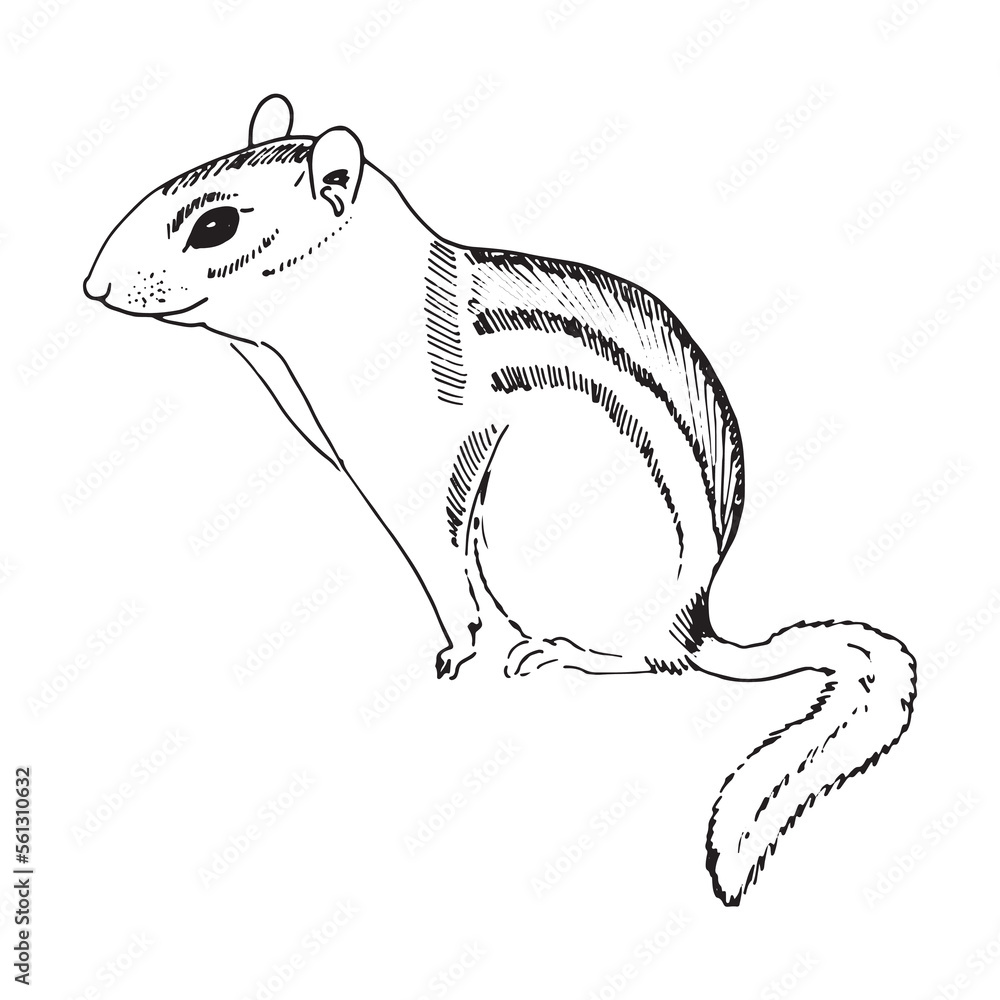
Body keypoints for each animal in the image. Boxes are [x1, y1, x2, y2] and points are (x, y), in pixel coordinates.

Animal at [84, 94, 917, 906]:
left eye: (214, 226)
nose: (93, 287)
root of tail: (695, 624)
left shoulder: (426, 464)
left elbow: (440, 552)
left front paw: (460, 644)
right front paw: (476, 628)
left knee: (645, 664)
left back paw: (561, 652)